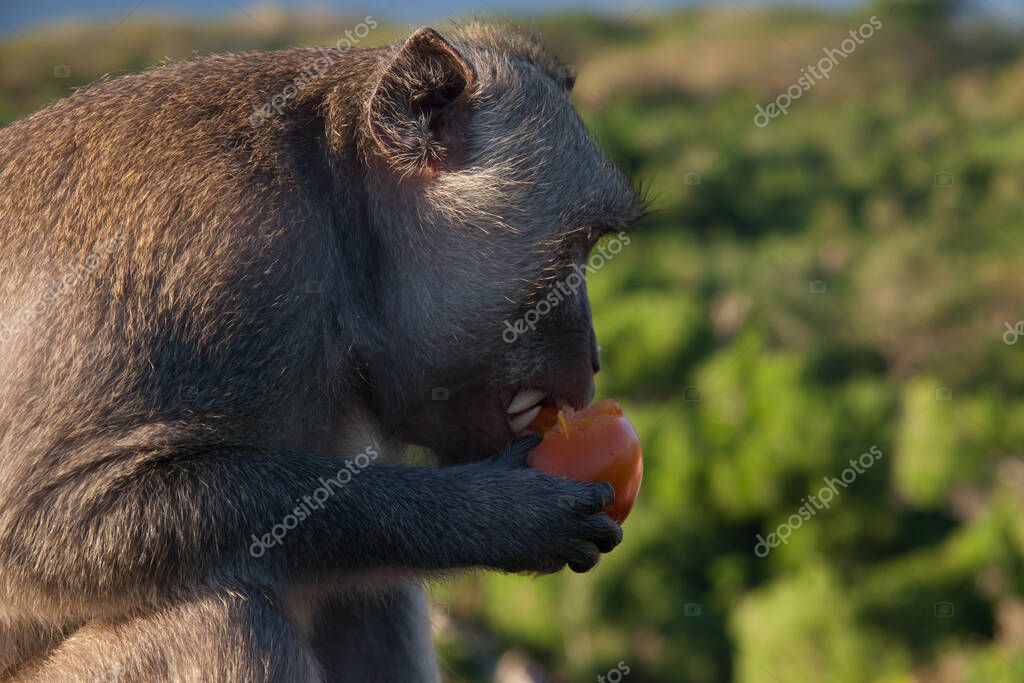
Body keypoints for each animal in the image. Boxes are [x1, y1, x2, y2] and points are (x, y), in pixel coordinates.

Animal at [0, 23, 645, 682]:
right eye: (580, 246)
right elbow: (51, 525)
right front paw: (496, 516)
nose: (595, 356)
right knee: (217, 618)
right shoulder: (203, 265)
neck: (338, 217)